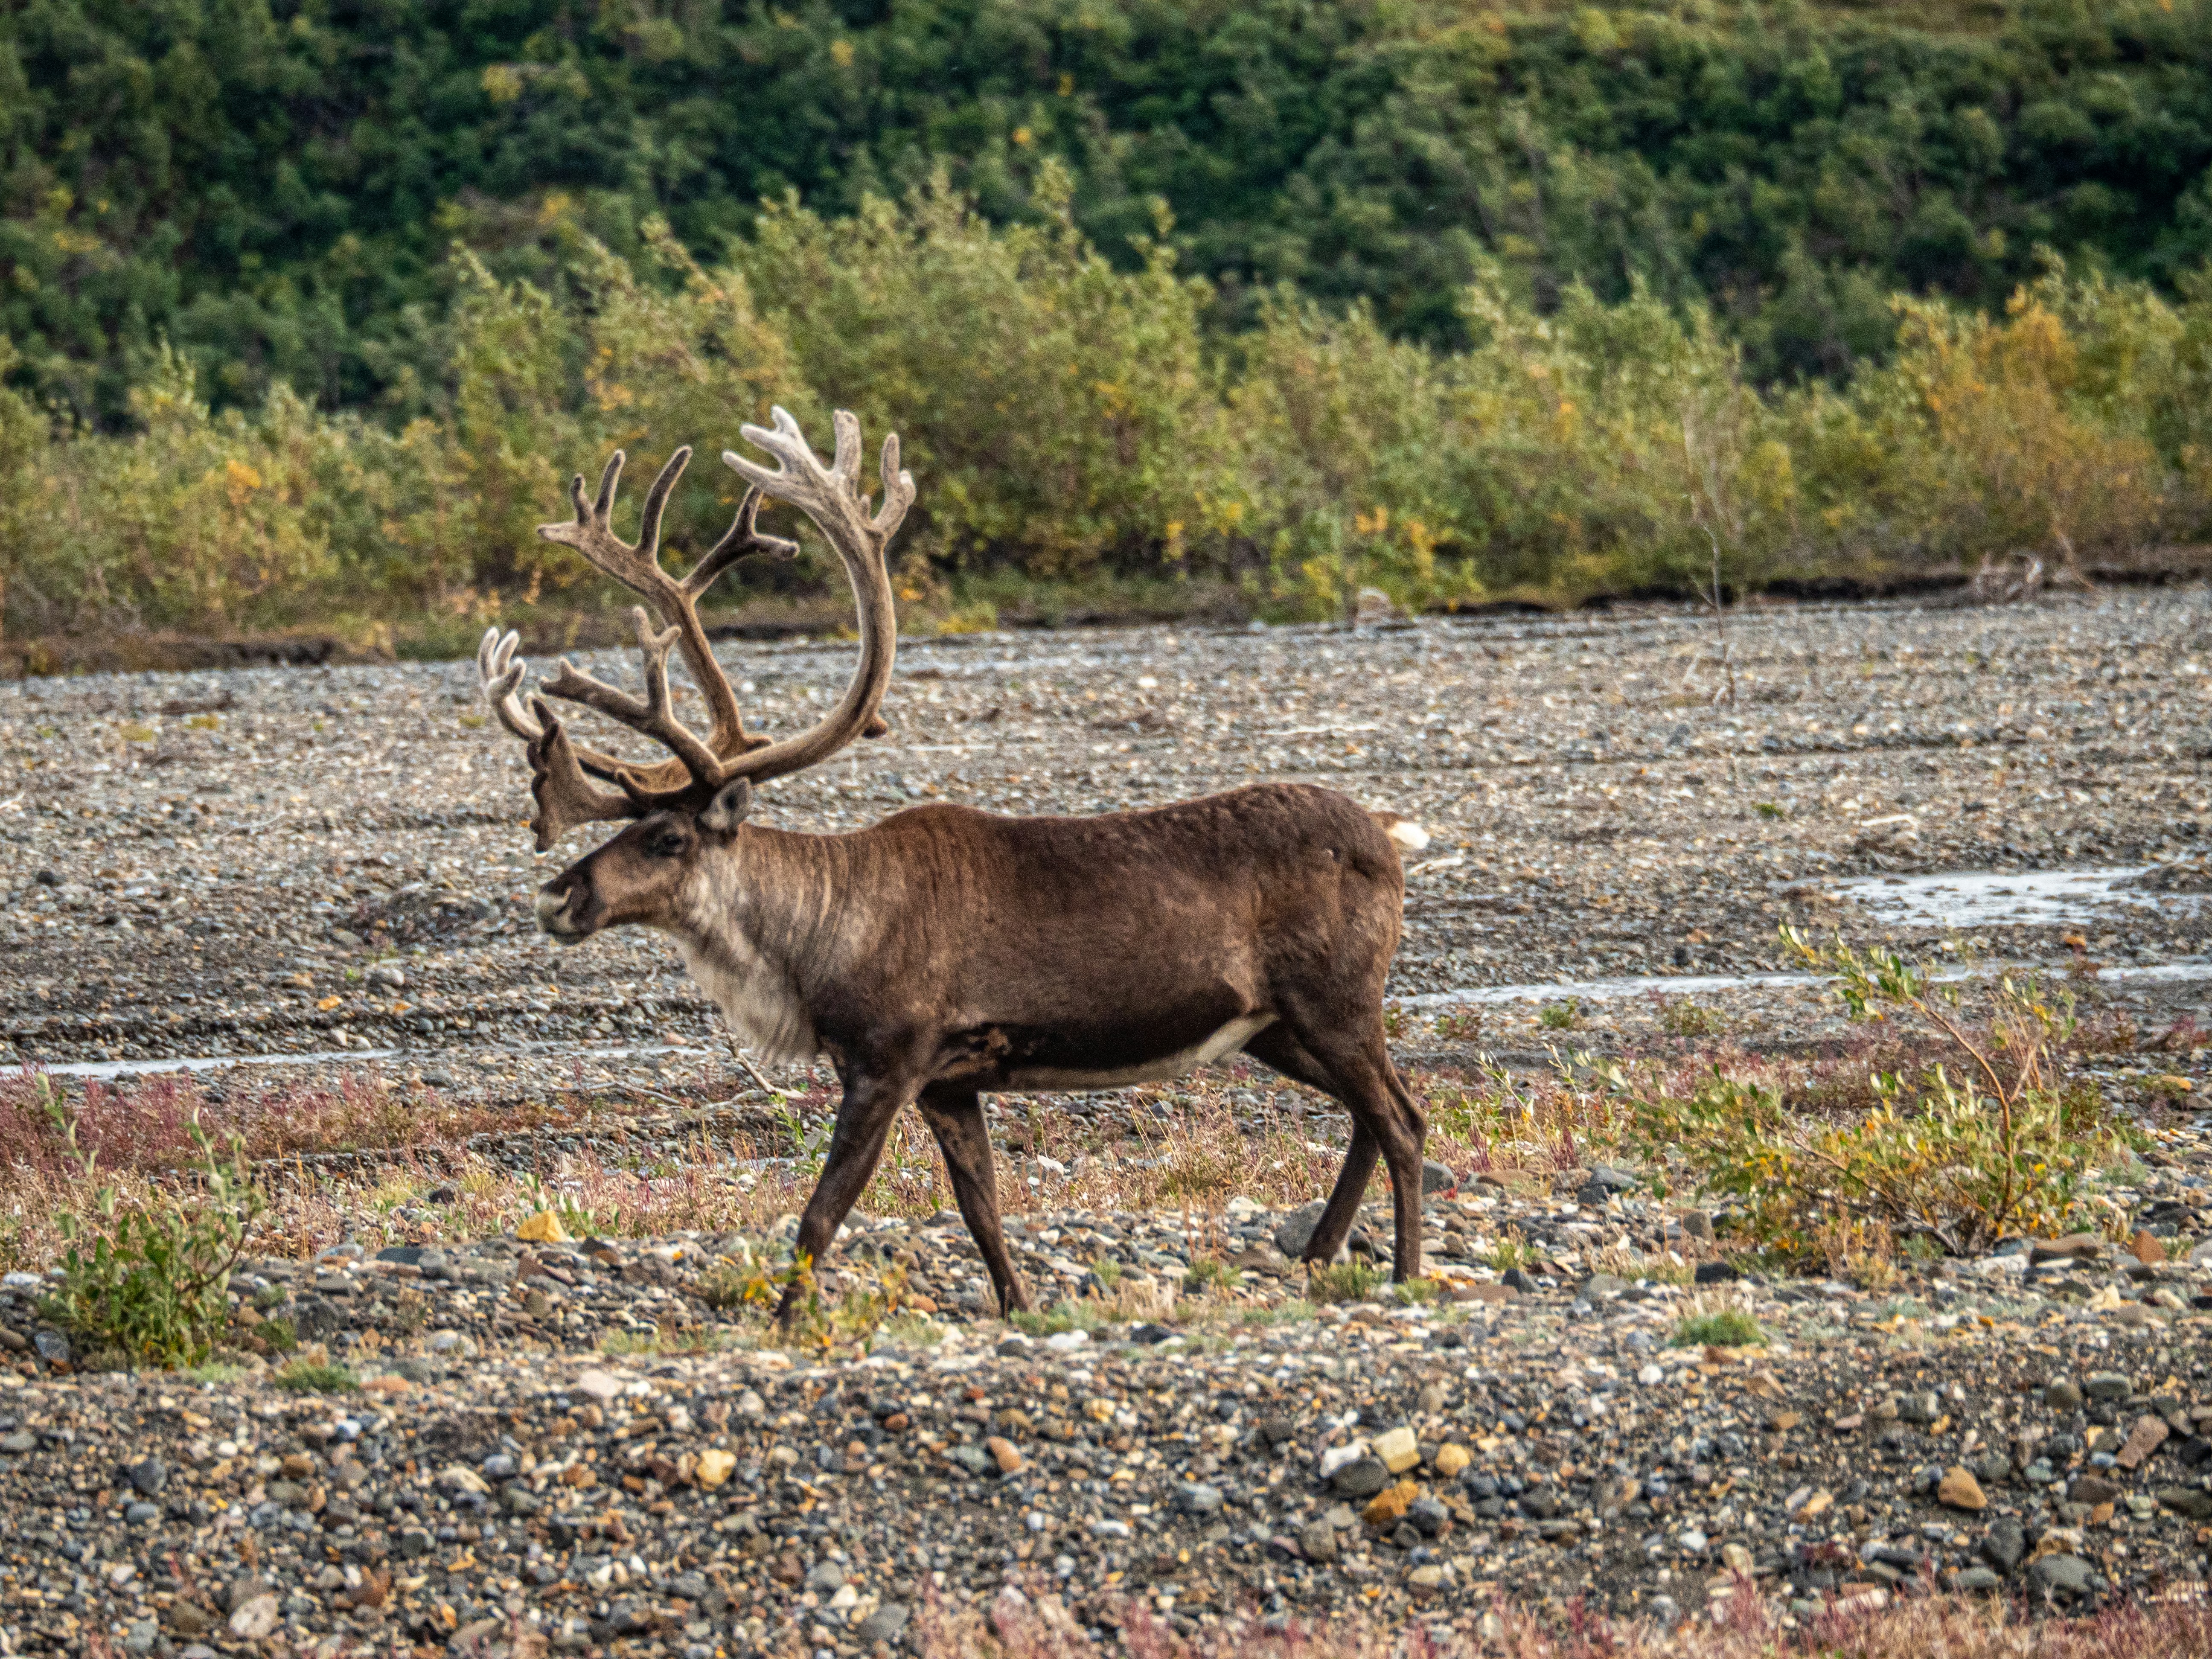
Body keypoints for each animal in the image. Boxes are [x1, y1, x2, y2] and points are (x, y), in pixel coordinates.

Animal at [477, 407, 1433, 1323]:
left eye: (667, 839)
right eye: (629, 824)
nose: (558, 896)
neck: (813, 944)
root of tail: (1389, 840)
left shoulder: (890, 1057)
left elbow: (822, 1211)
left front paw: (785, 1319)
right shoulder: (948, 1084)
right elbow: (981, 1210)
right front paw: (1018, 1306)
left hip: (1335, 998)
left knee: (1402, 1118)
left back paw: (1404, 1273)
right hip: (1277, 1025)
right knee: (1370, 1116)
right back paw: (1319, 1255)